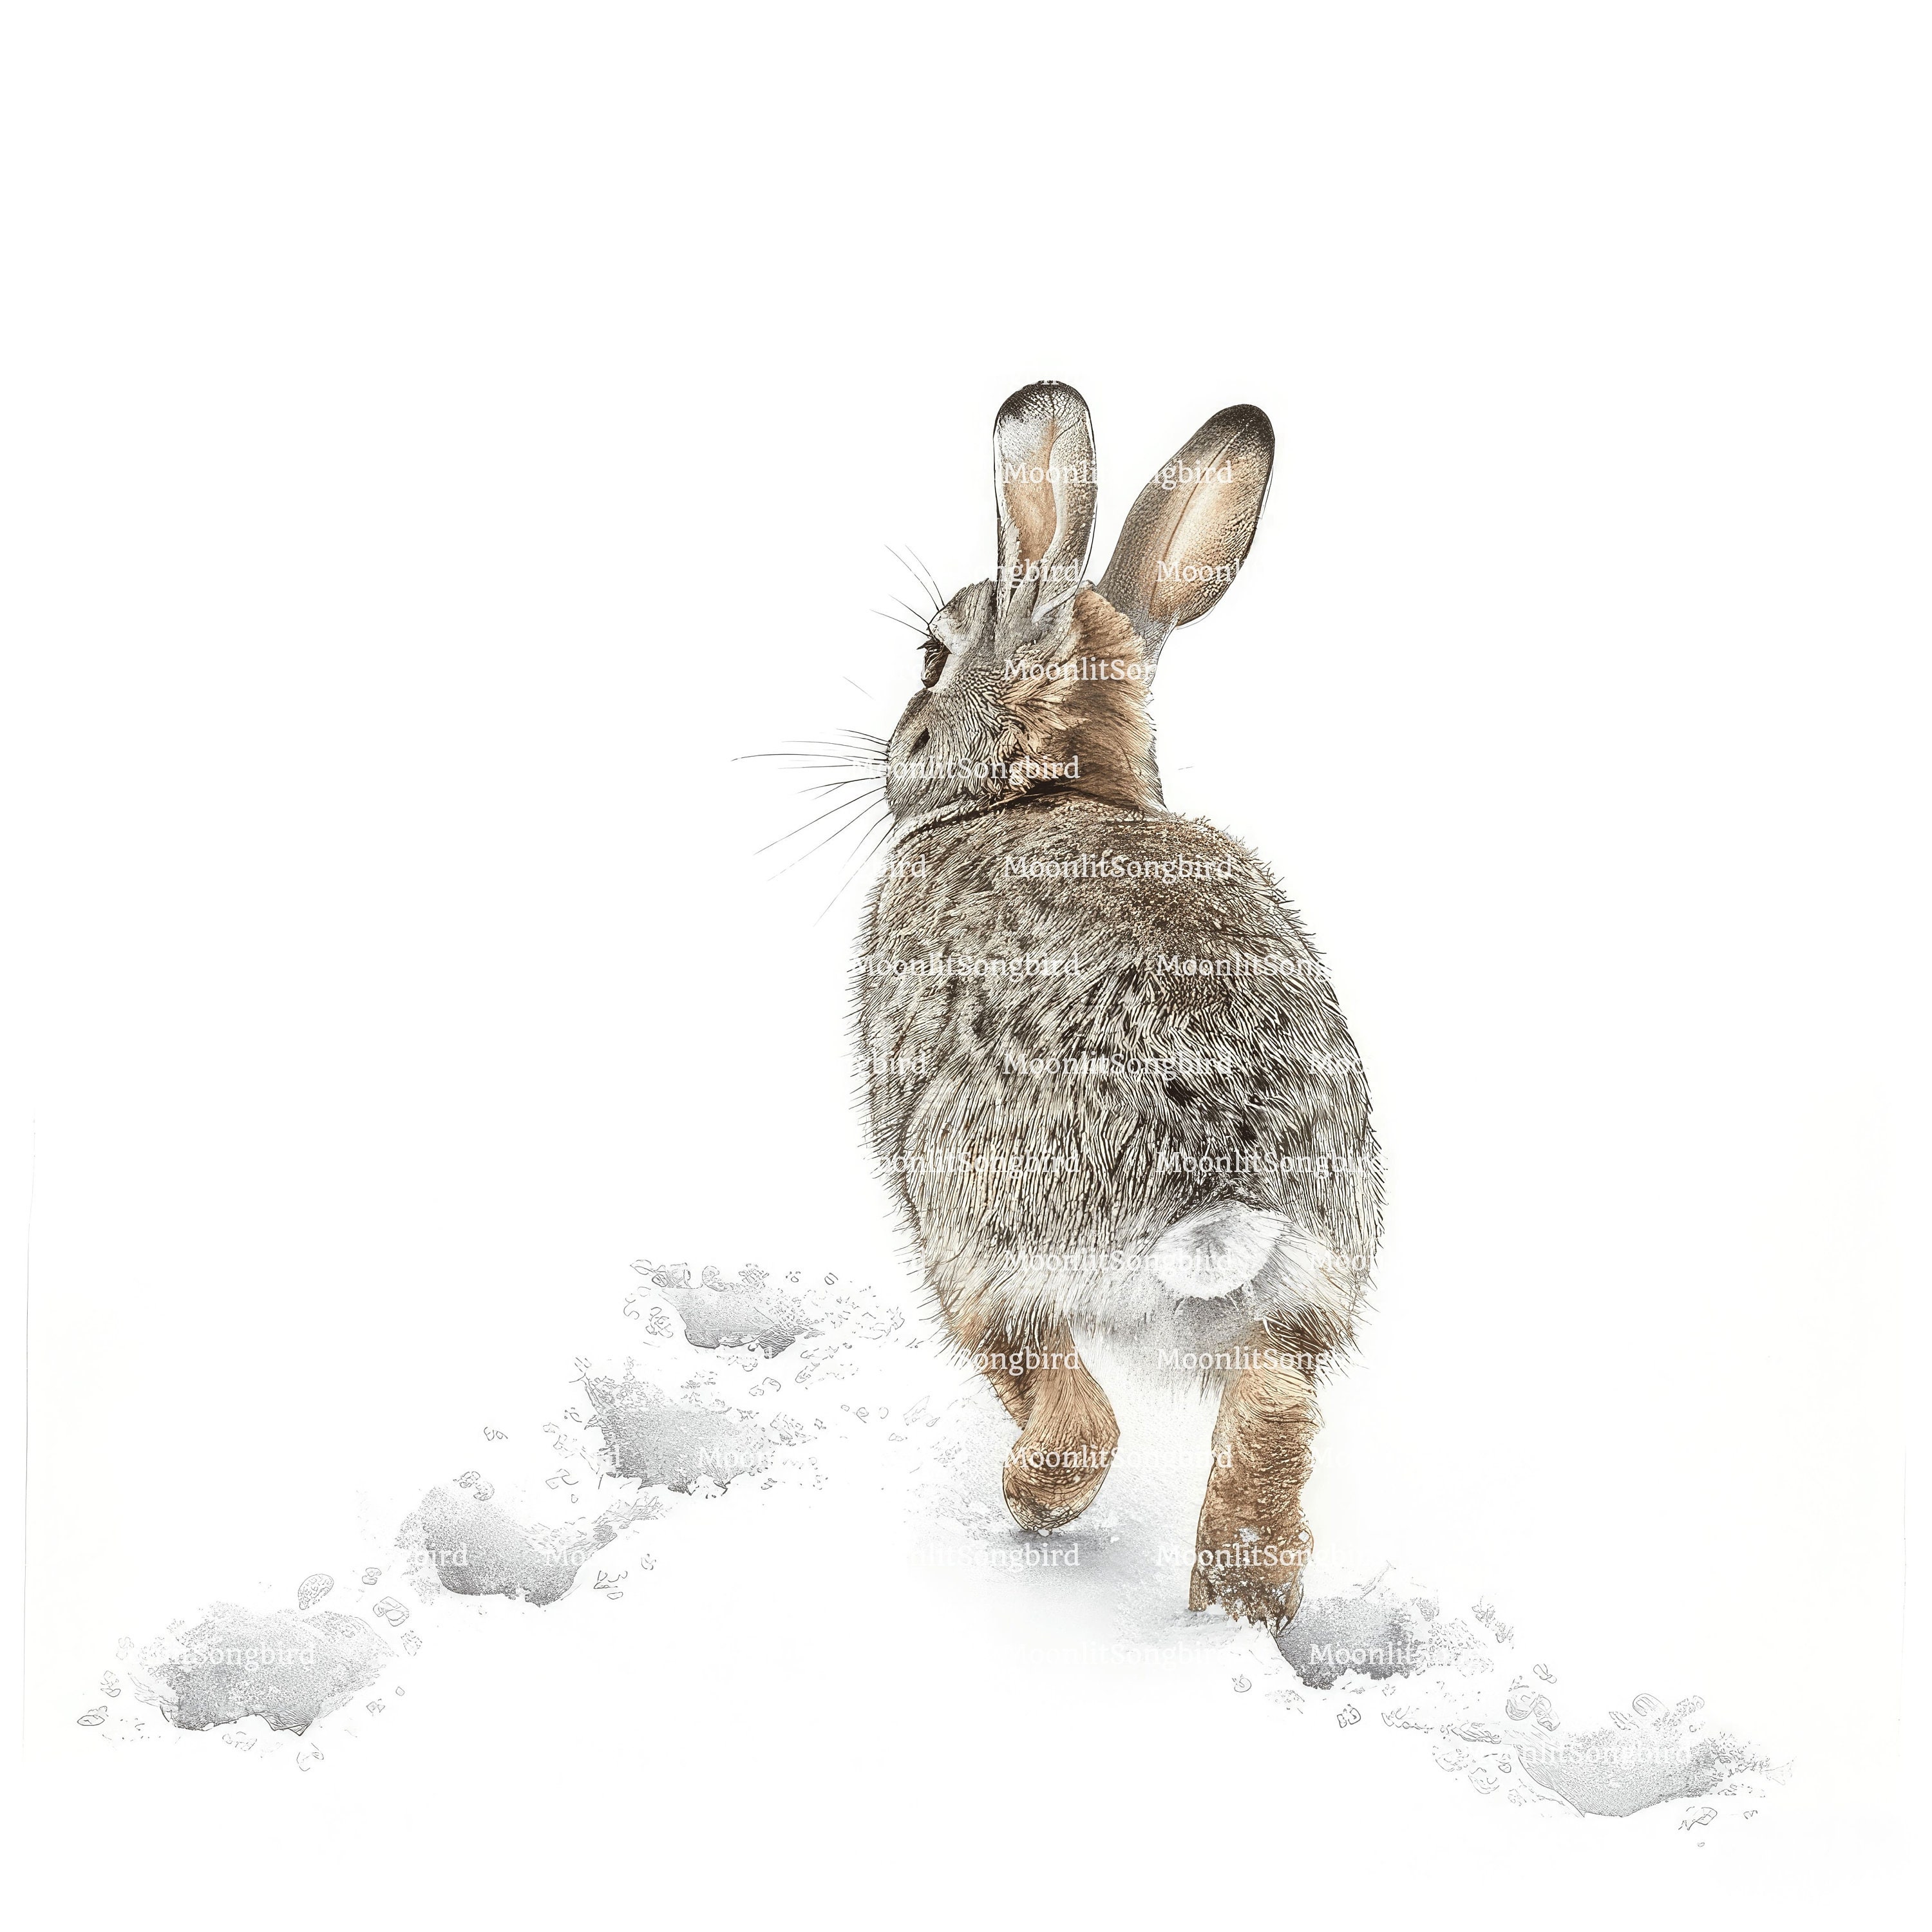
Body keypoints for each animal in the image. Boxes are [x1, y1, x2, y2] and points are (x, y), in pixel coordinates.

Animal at [857, 382, 1381, 1629]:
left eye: (931, 656)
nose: (891, 753)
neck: (1054, 784)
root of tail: (1218, 1200)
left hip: (977, 1229)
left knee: (1067, 1410)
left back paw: (1029, 1508)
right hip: (1299, 1310)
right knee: (1271, 1431)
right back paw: (1231, 1631)